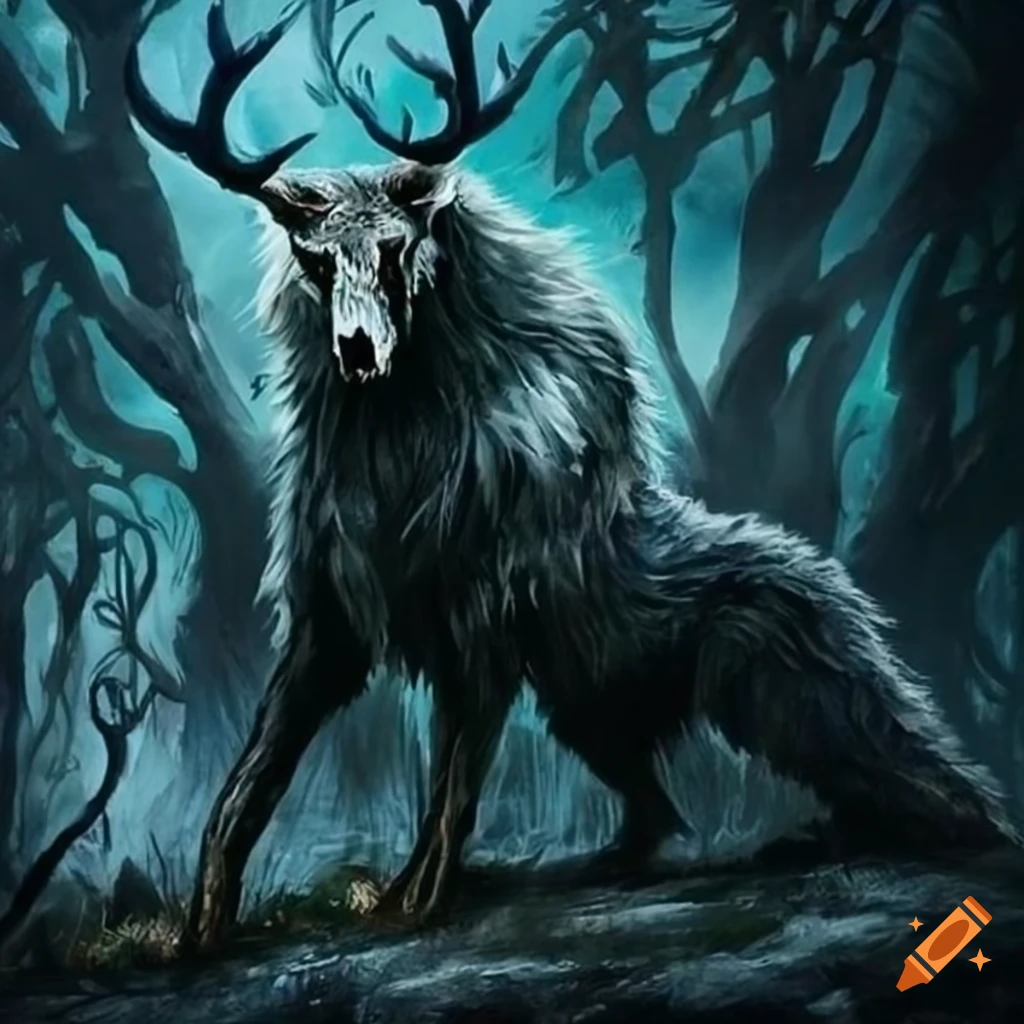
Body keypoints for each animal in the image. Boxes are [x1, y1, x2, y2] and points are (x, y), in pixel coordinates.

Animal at [126, 2, 1017, 947]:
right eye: (317, 260)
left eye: (399, 249)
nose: (358, 351)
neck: (398, 449)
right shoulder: (331, 621)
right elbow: (248, 786)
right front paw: (202, 931)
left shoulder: (481, 624)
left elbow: (451, 785)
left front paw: (418, 901)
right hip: (586, 708)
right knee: (658, 815)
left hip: (779, 692)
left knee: (899, 782)